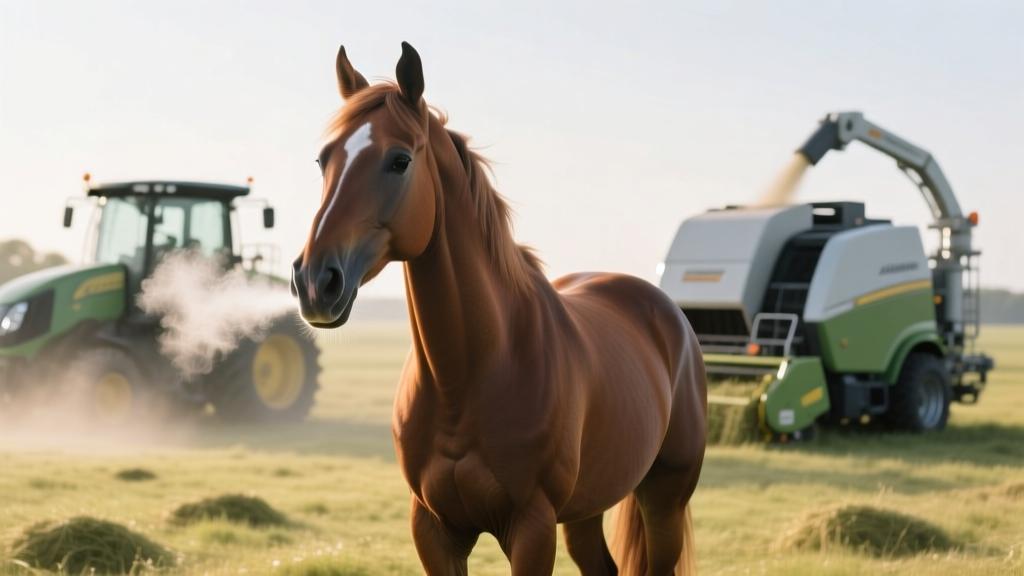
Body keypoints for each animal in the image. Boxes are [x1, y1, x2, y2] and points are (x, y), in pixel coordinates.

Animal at [292, 42, 708, 576]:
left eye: (399, 161)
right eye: (323, 159)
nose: (314, 281)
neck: (472, 373)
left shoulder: (531, 528)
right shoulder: (434, 530)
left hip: (665, 497)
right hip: (586, 509)